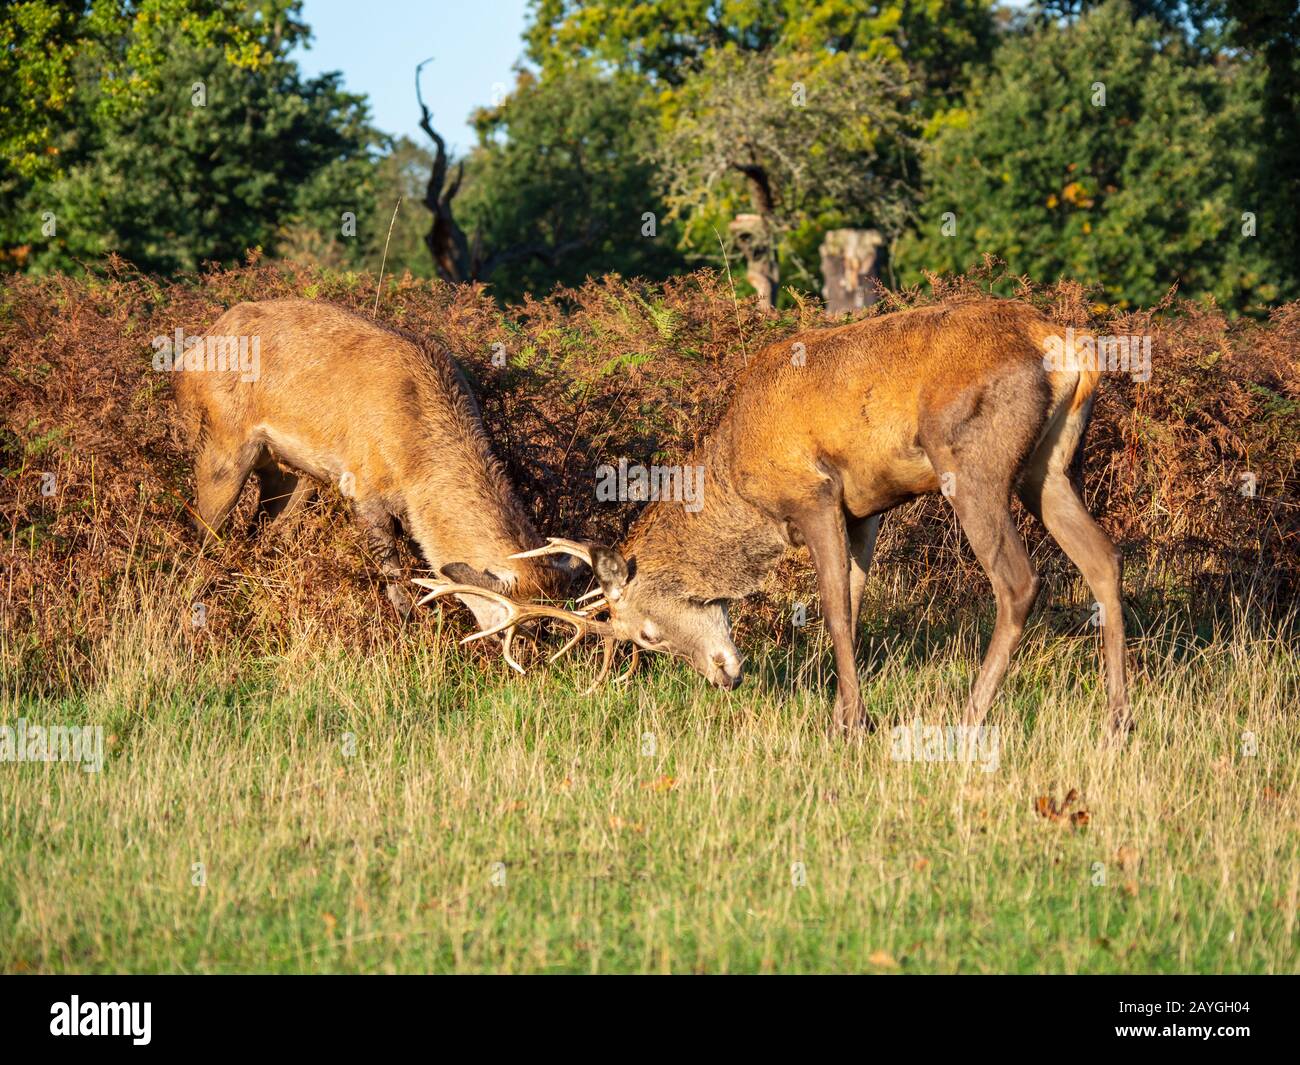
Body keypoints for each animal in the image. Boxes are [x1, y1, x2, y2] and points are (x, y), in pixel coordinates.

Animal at [172, 298, 573, 653]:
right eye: (512, 621)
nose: (529, 652)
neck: (413, 462)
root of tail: (189, 355)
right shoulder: (363, 487)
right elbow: (392, 571)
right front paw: (407, 625)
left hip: (293, 473)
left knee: (268, 522)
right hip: (222, 443)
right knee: (204, 530)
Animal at [422, 299, 1131, 734]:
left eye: (646, 635)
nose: (723, 676)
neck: (741, 483)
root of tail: (1068, 346)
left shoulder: (812, 494)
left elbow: (836, 609)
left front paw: (854, 724)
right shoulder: (865, 508)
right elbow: (856, 598)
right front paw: (841, 707)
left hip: (970, 459)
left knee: (1019, 581)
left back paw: (967, 717)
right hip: (1051, 467)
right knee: (1102, 557)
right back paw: (1116, 721)